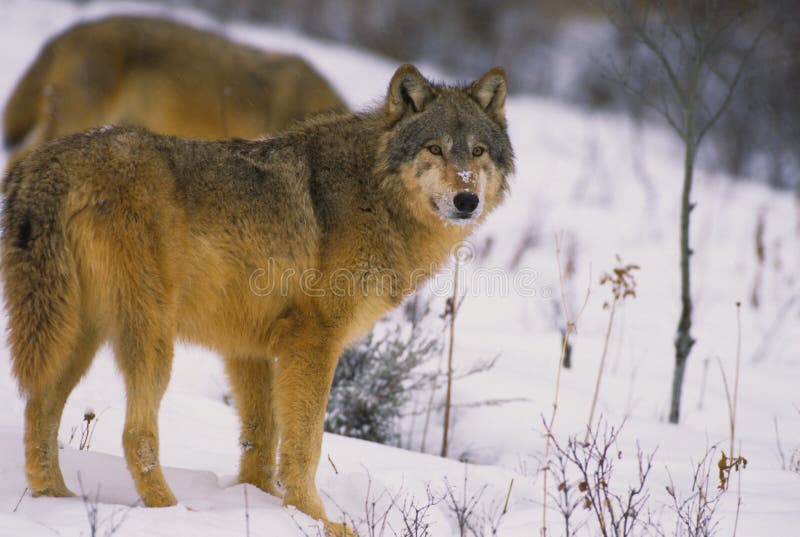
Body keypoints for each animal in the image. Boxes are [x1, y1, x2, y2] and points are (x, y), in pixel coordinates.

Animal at [1, 64, 513, 534]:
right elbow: (305, 445)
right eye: (434, 148)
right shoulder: (314, 342)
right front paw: (316, 521)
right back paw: (174, 515)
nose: (466, 199)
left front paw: (260, 505)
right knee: (134, 435)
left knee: (38, 410)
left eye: (478, 152)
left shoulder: (251, 348)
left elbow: (260, 440)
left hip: (73, 337)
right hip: (149, 340)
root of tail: (48, 161)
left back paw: (57, 500)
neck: (373, 192)